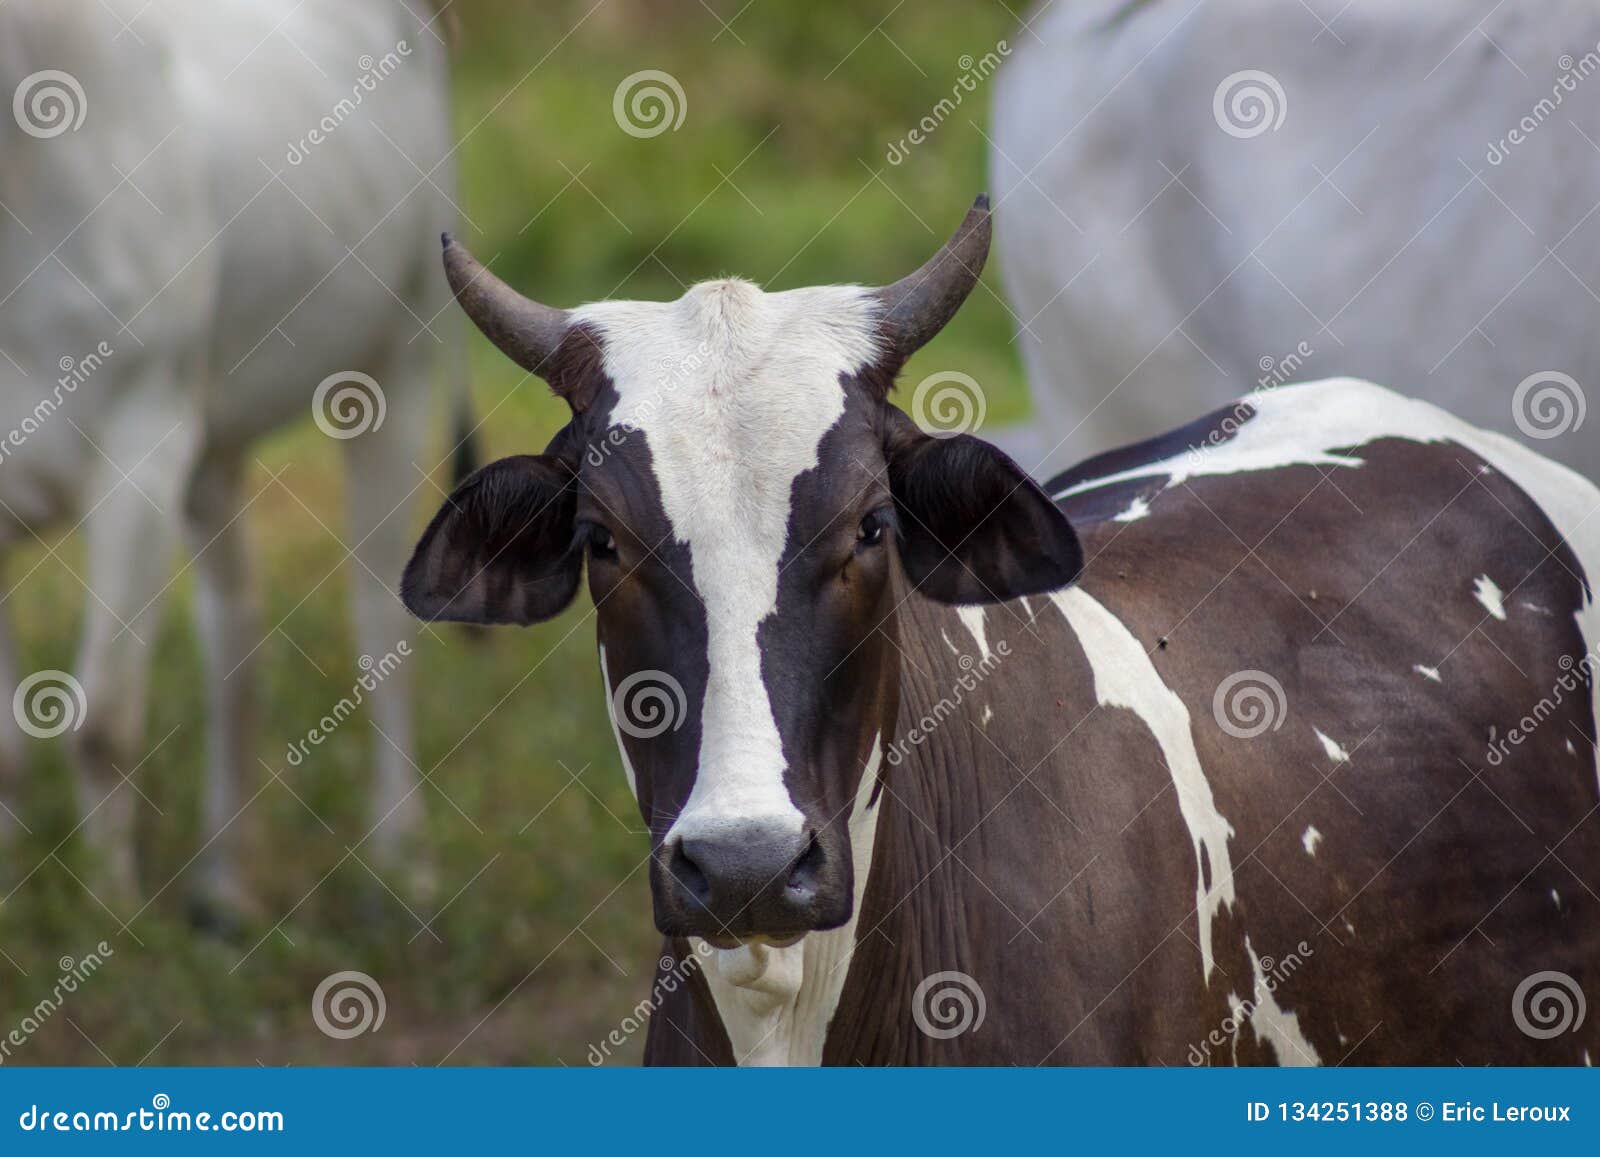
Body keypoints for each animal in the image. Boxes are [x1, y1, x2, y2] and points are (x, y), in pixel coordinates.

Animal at [0, 0, 462, 917]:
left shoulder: (140, 444)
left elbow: (103, 722)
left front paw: (113, 918)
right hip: (211, 450)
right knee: (234, 636)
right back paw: (224, 886)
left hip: (402, 362)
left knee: (380, 619)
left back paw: (404, 858)